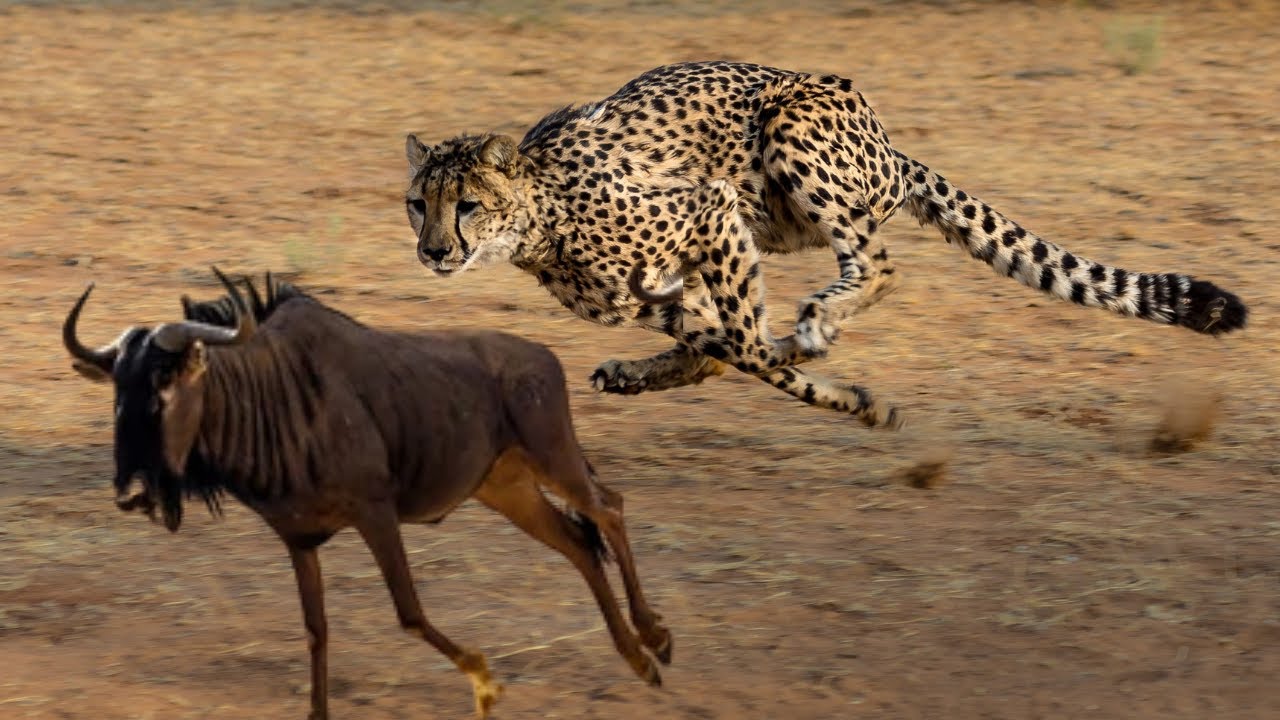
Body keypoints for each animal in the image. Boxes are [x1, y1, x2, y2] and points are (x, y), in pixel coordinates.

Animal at [403, 61, 1247, 428]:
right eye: (418, 205)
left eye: (467, 205)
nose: (434, 252)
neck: (540, 215)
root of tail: (889, 143)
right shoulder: (661, 289)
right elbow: (725, 349)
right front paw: (840, 391)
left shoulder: (709, 210)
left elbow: (747, 347)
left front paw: (844, 390)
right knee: (728, 342)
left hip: (791, 135)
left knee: (877, 263)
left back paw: (817, 322)